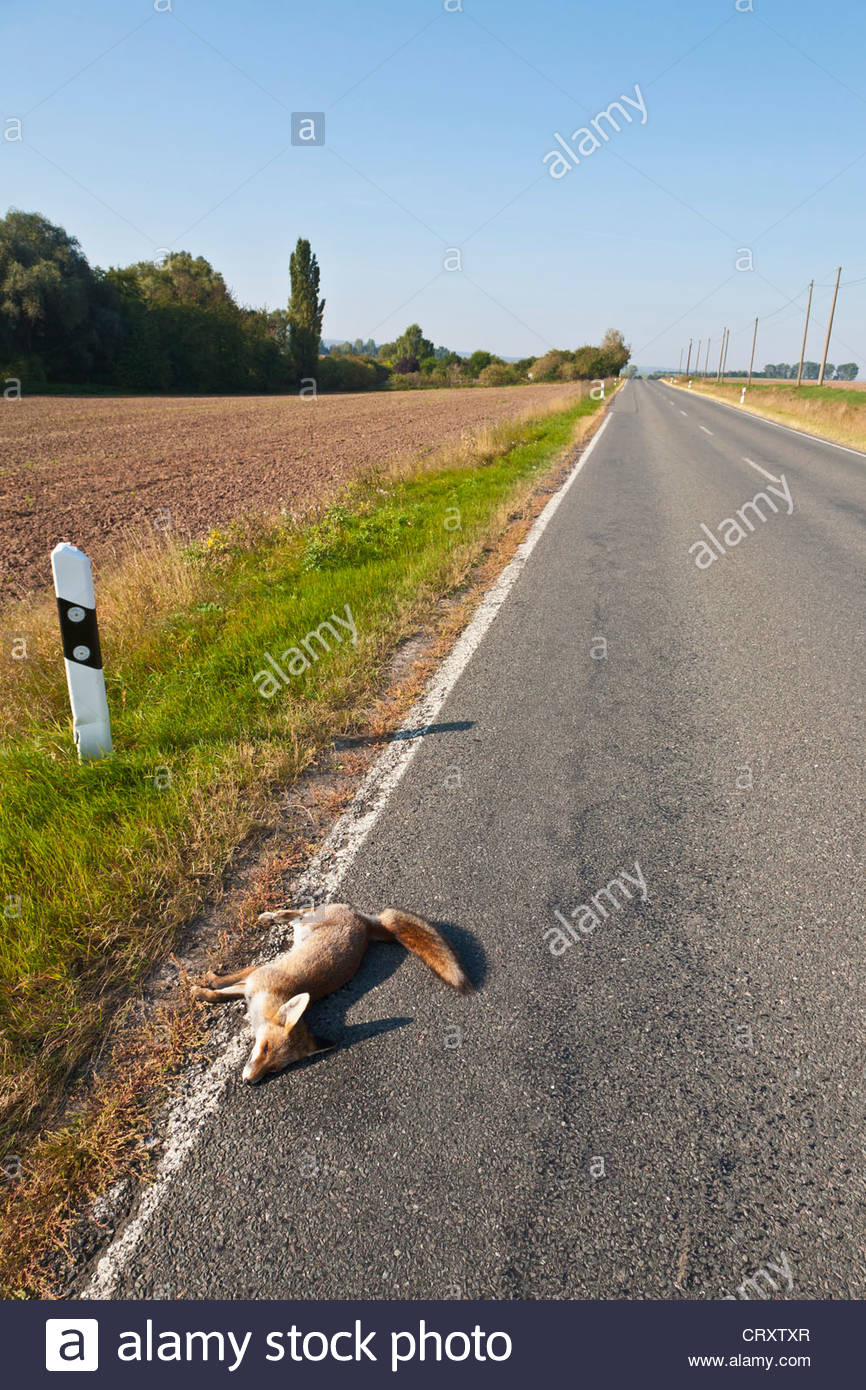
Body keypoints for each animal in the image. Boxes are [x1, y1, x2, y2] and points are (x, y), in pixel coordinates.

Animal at [191, 902, 471, 1083]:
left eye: (274, 1069)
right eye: (266, 1048)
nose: (249, 1082)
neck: (271, 996)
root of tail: (366, 925)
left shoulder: (252, 982)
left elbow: (223, 992)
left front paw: (203, 989)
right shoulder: (254, 976)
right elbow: (223, 987)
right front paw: (206, 983)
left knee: (299, 914)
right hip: (311, 919)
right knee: (300, 911)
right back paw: (272, 916)